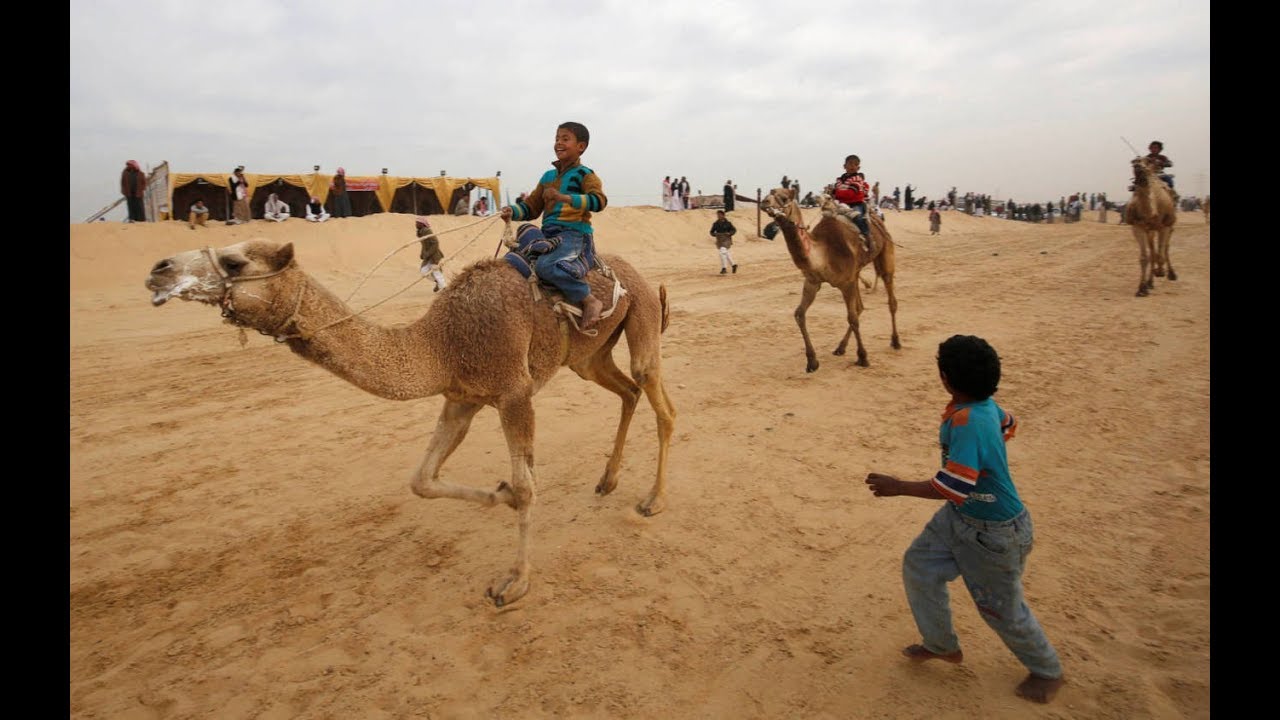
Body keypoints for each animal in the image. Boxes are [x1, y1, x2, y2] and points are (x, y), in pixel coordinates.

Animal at [144, 238, 676, 607]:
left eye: (235, 262)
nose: (158, 269)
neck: (439, 342)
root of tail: (641, 276)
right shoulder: (461, 398)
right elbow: (422, 479)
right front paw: (498, 493)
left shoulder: (513, 392)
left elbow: (528, 487)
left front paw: (515, 582)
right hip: (586, 357)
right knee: (627, 391)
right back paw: (607, 480)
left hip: (642, 316)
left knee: (658, 399)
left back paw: (652, 500)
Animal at [760, 187, 900, 372]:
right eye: (770, 192)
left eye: (783, 197)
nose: (764, 202)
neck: (824, 253)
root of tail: (877, 217)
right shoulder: (813, 282)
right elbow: (799, 314)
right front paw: (812, 362)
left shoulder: (846, 283)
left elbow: (852, 318)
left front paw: (863, 357)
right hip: (855, 272)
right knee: (860, 307)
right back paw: (841, 347)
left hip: (885, 254)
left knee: (890, 299)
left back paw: (896, 341)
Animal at [1123, 156, 1178, 297]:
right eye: (1134, 162)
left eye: (1147, 161)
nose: (1138, 166)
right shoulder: (1138, 227)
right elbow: (1144, 257)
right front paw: (1141, 288)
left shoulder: (1164, 227)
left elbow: (1162, 252)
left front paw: (1161, 271)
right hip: (1151, 231)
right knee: (1153, 251)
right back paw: (1150, 282)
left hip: (1170, 224)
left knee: (1165, 248)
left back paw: (1171, 273)